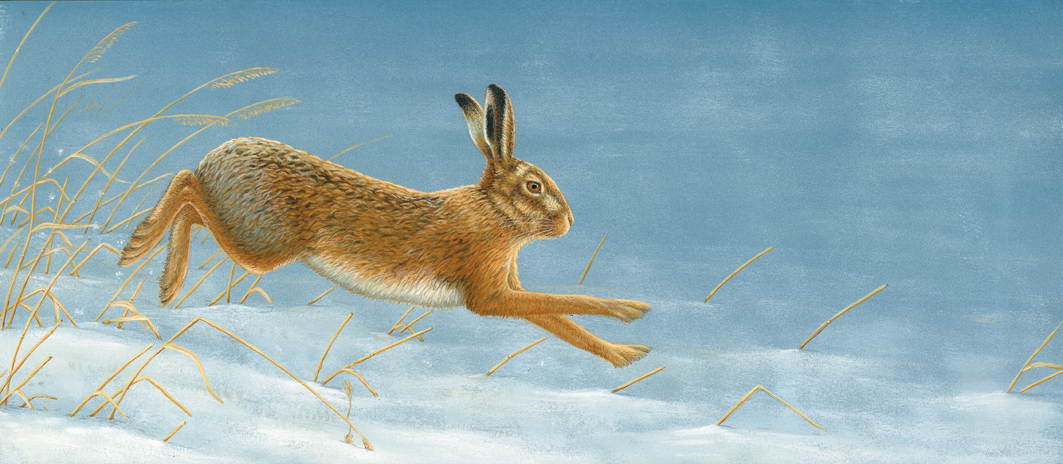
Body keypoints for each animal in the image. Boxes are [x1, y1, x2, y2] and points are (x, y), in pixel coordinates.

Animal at [118, 84, 651, 367]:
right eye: (534, 187)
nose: (569, 223)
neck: (493, 212)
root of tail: (218, 159)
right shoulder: (488, 294)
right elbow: (564, 302)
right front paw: (631, 312)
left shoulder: (507, 288)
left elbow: (561, 321)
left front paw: (626, 355)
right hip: (262, 242)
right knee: (187, 188)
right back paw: (148, 260)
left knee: (188, 191)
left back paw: (161, 278)